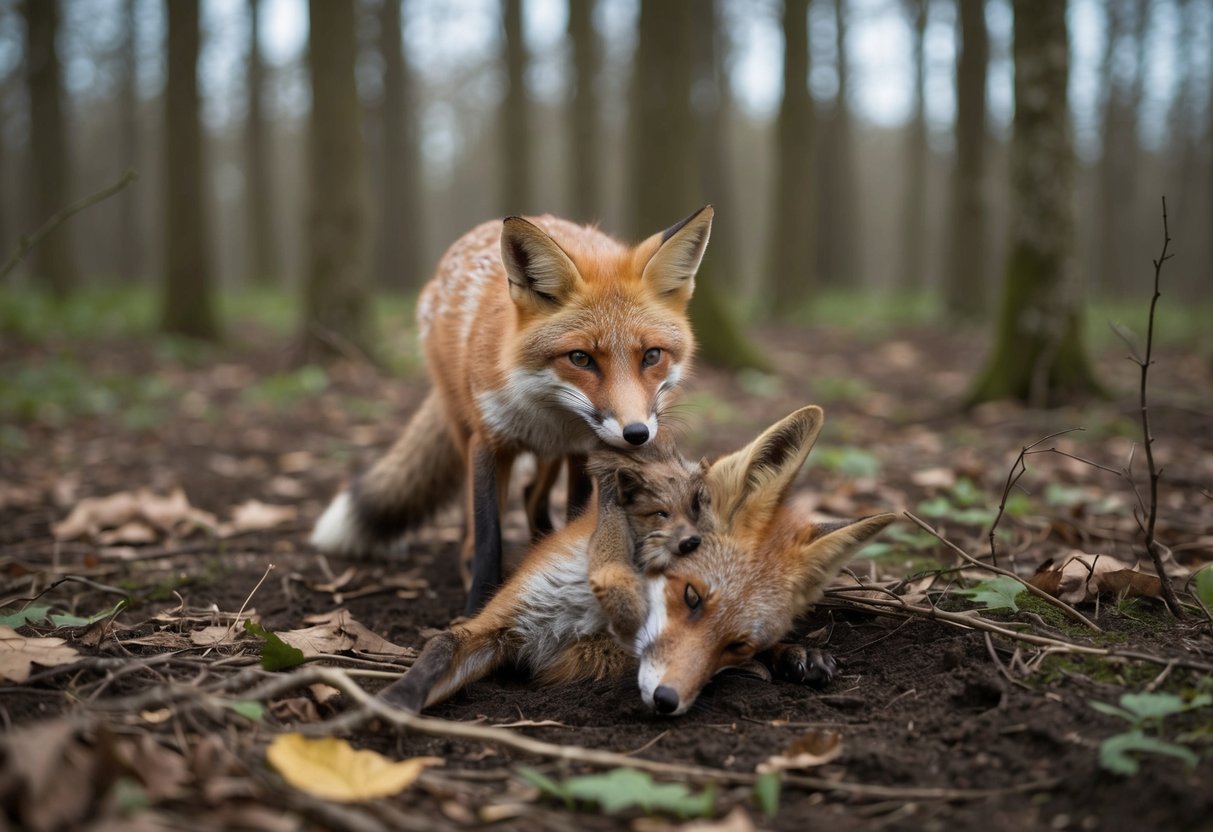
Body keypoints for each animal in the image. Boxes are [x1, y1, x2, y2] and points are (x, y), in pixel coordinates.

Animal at [311, 207, 715, 615]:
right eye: (580, 358)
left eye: (652, 356)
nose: (636, 434)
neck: (549, 412)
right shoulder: (489, 442)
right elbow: (488, 535)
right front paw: (477, 605)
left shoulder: (582, 450)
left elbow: (575, 517)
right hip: (462, 425)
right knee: (473, 513)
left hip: (551, 457)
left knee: (532, 493)